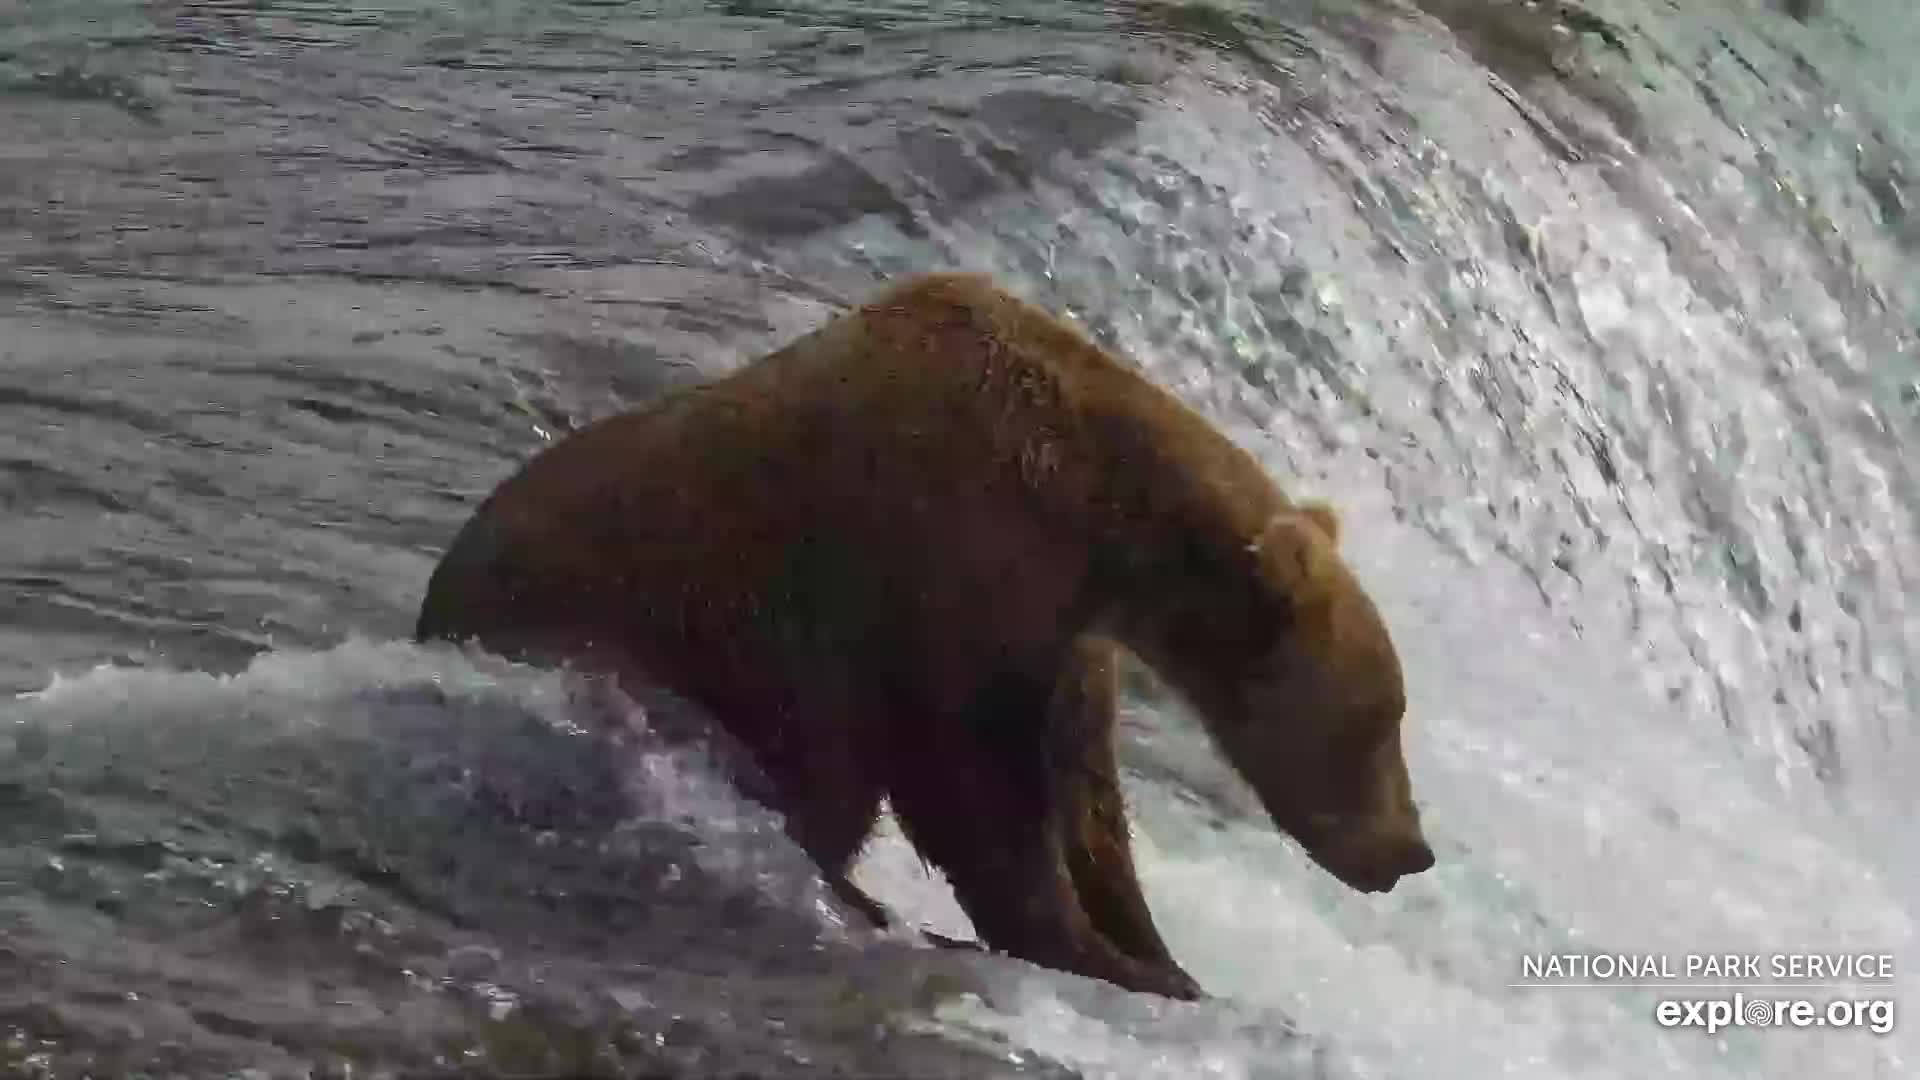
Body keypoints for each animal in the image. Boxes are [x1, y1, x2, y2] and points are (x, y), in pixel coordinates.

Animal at [414, 271, 1435, 1000]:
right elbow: (973, 790)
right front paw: (1111, 957)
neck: (1093, 520)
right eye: (1378, 720)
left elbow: (1086, 794)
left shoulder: (1060, 639)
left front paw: (1153, 948)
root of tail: (433, 598)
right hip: (613, 635)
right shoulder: (944, 575)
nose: (1410, 852)